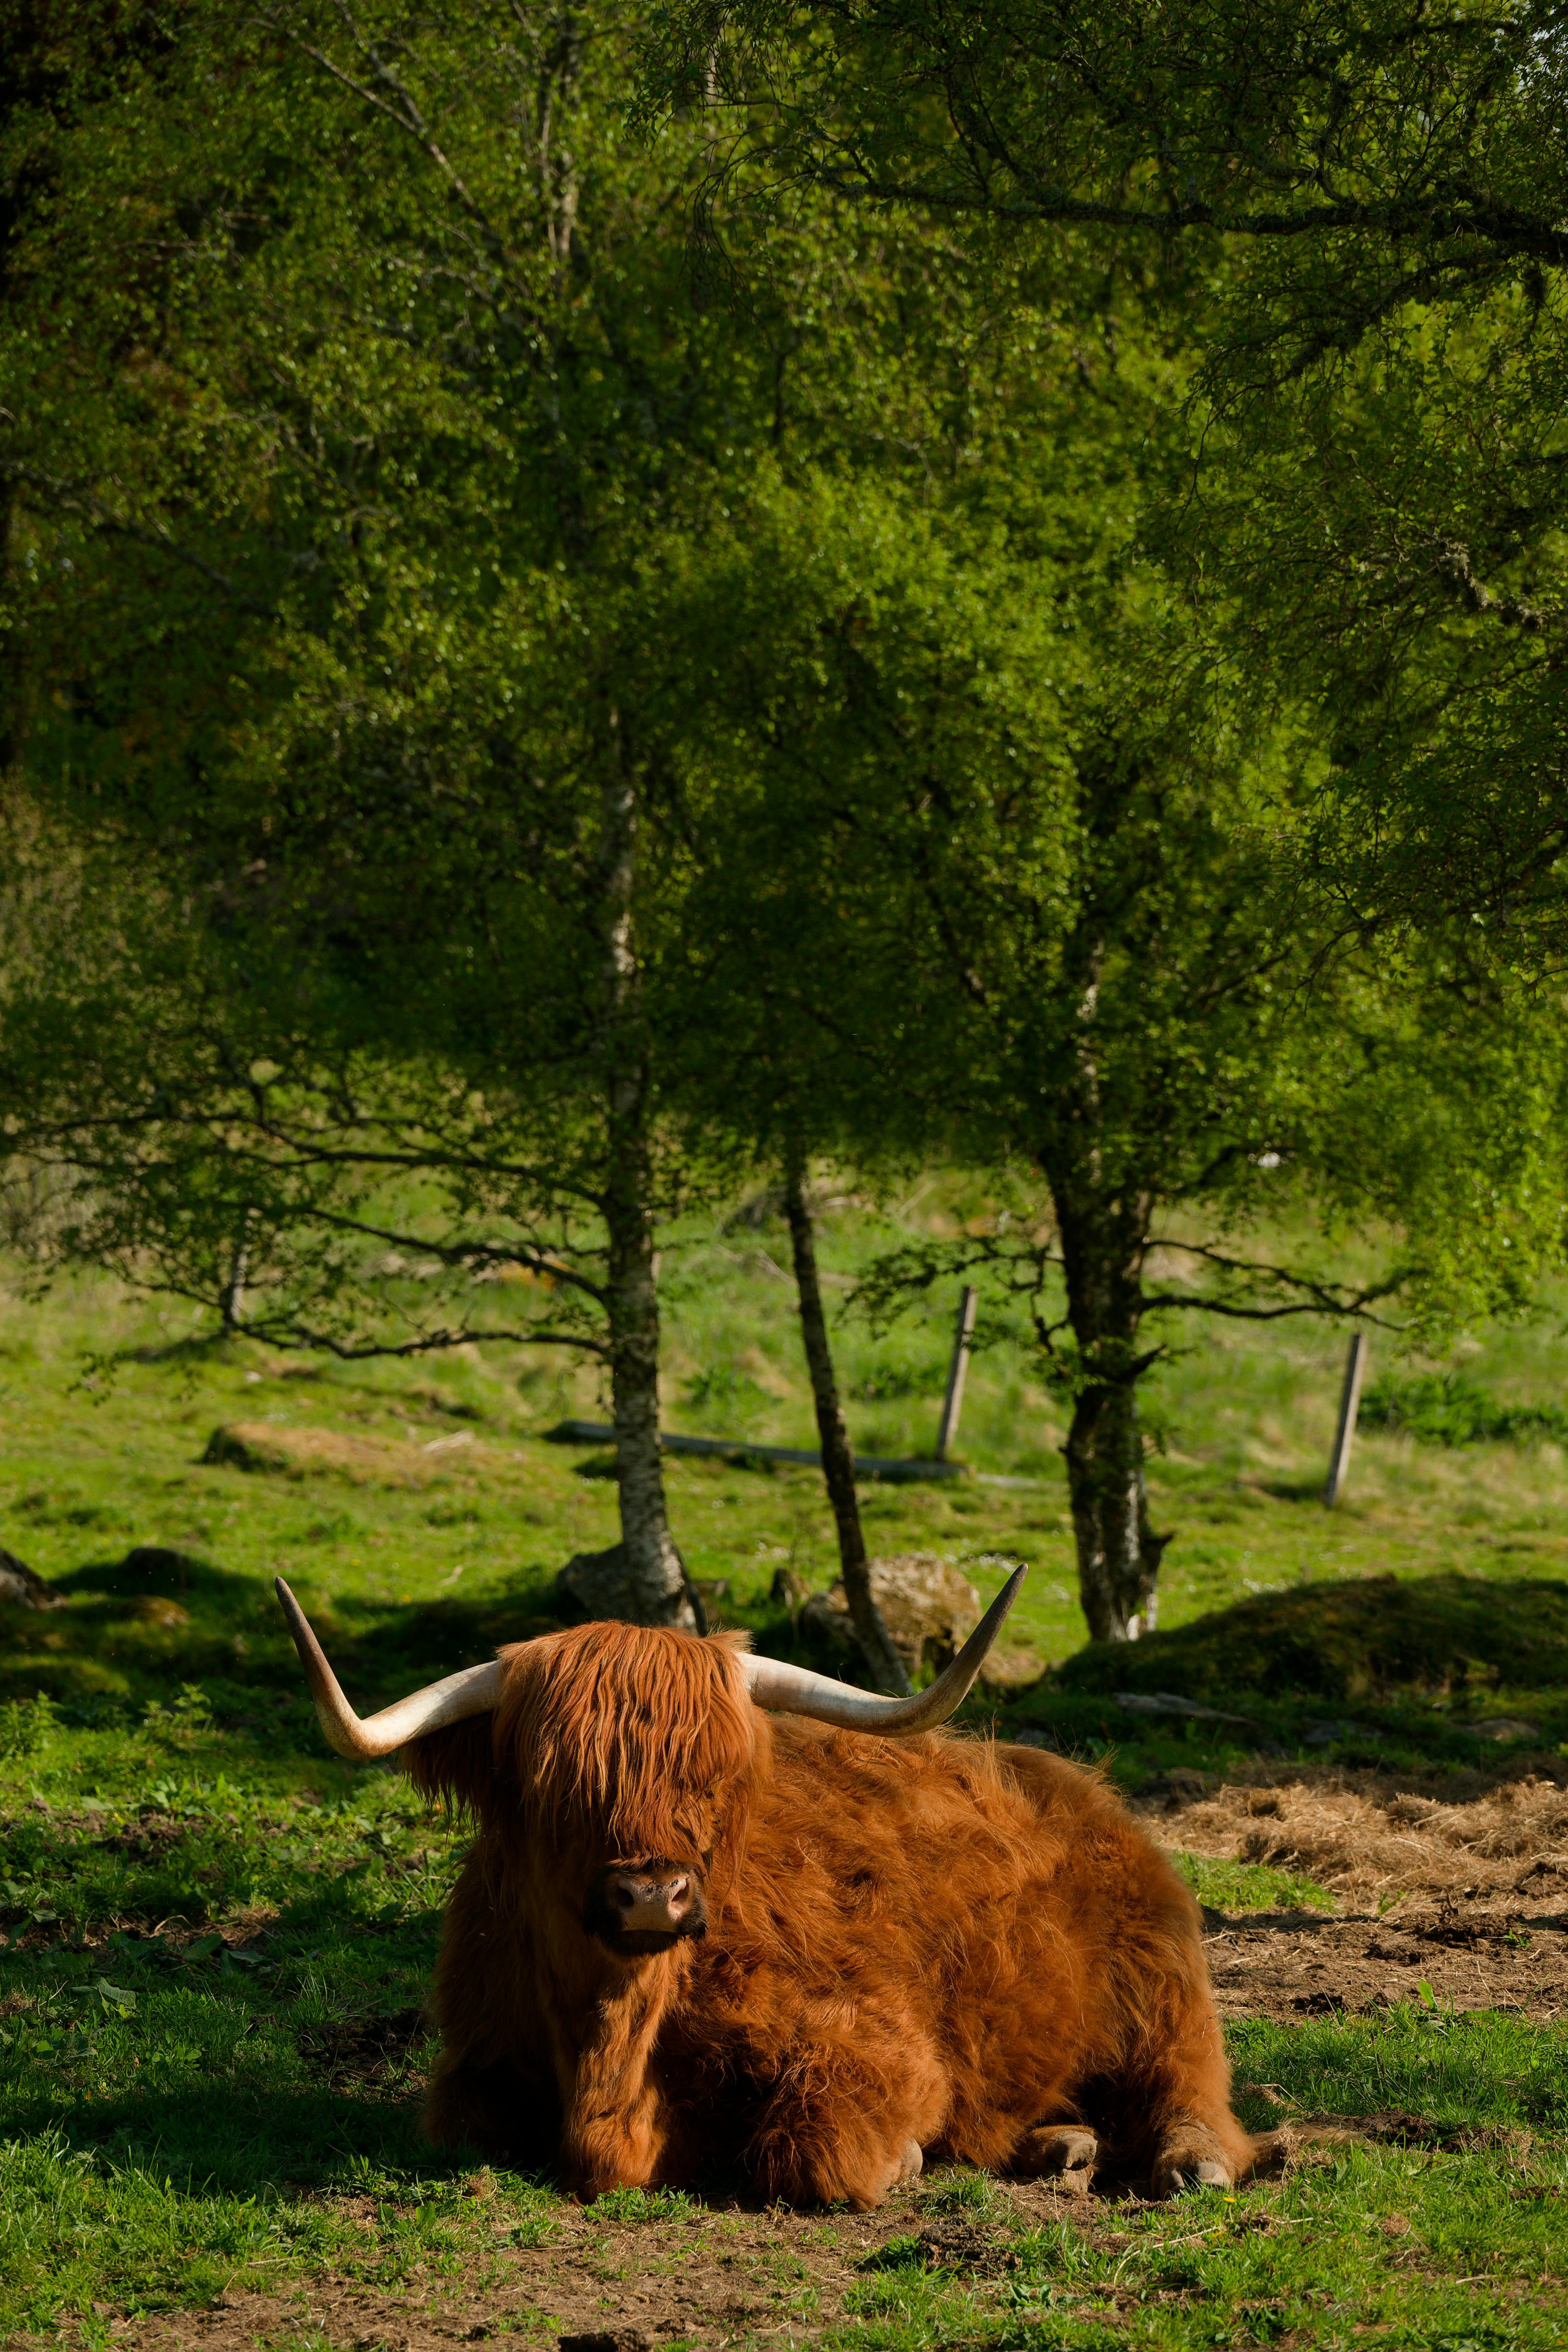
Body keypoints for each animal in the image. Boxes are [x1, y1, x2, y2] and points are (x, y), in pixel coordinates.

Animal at [276, 1570, 1265, 2206]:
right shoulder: (471, 2070)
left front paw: (907, 2159)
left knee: (1190, 2087)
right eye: (557, 1784)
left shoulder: (882, 2046)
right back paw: (1058, 2145)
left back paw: (1187, 2164)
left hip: (1161, 1979)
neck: (610, 2040)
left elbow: (816, 2154)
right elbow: (468, 2126)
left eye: (715, 1781)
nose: (653, 1897)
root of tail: (1076, 1782)